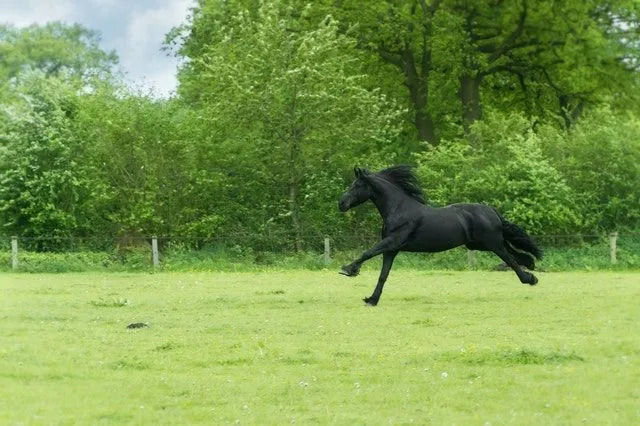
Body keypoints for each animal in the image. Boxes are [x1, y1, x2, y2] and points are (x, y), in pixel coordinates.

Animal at [338, 165, 544, 304]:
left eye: (356, 185)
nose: (341, 204)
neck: (398, 209)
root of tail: (492, 211)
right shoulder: (392, 249)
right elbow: (383, 275)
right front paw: (372, 299)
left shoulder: (392, 241)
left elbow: (368, 252)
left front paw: (348, 269)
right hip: (480, 244)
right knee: (515, 254)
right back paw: (531, 266)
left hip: (491, 243)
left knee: (510, 258)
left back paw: (530, 279)